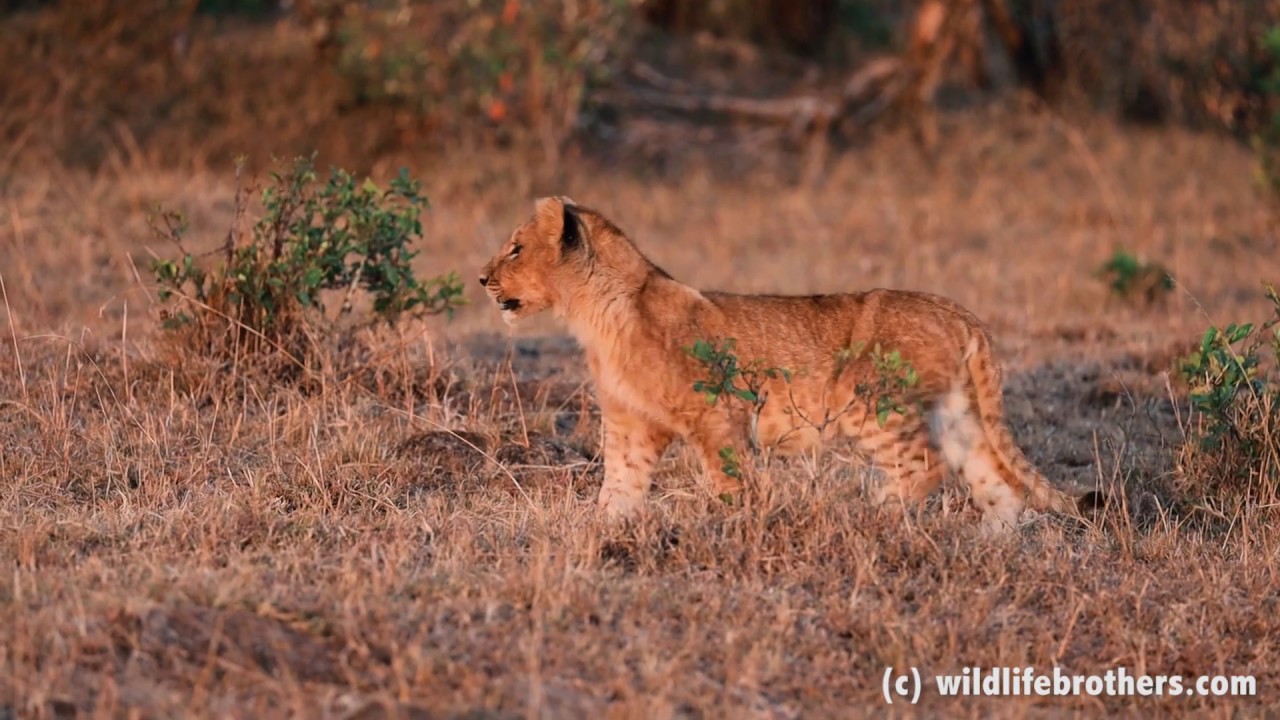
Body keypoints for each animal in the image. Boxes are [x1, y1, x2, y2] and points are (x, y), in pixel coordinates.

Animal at [479, 196, 1095, 531]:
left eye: (515, 248)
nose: (482, 279)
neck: (596, 313)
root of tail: (960, 312)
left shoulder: (717, 415)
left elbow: (731, 480)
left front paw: (735, 528)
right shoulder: (632, 425)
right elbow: (619, 487)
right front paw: (600, 534)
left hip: (868, 403)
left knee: (926, 466)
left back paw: (872, 513)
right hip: (957, 411)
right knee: (998, 484)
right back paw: (987, 547)